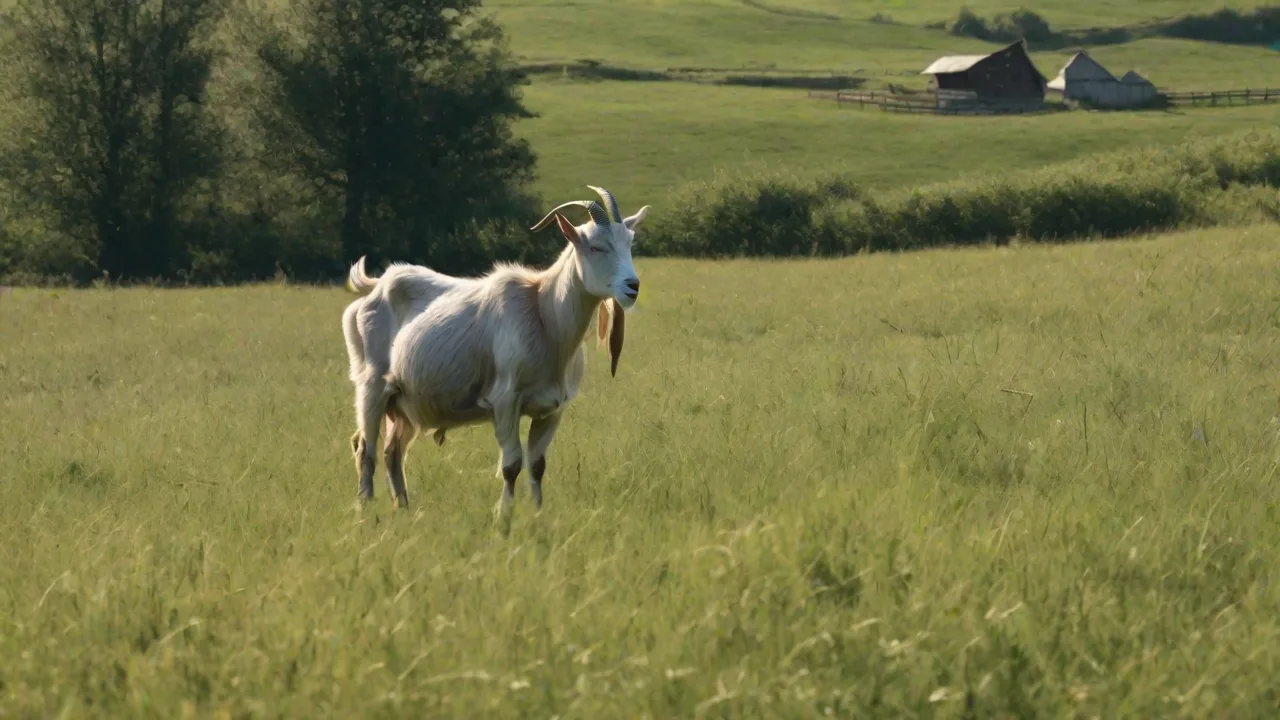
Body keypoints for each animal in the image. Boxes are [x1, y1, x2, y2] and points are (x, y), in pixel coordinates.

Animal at [375, 186, 649, 513]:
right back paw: (365, 507)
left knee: (392, 451)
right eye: (596, 247)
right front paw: (503, 515)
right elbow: (511, 465)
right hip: (373, 391)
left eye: (629, 244)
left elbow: (537, 465)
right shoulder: (505, 401)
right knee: (363, 446)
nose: (632, 286)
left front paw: (537, 513)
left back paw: (401, 507)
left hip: (403, 407)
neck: (544, 314)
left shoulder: (553, 409)